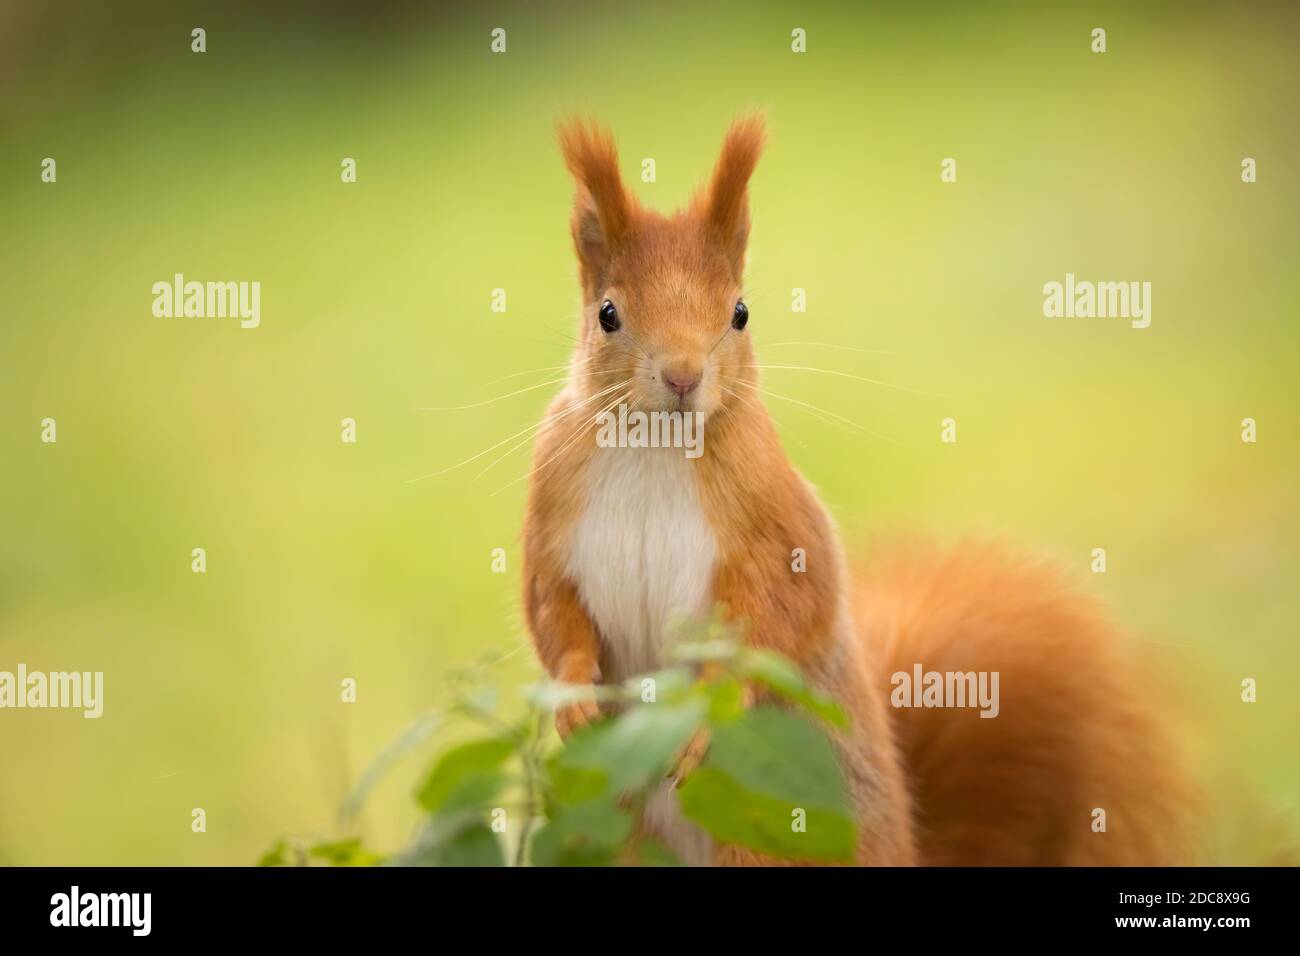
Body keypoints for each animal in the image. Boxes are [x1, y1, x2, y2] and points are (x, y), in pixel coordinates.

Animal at [521, 115, 1198, 866]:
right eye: (608, 313)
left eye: (740, 313)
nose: (682, 376)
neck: (657, 448)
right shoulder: (553, 510)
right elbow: (553, 611)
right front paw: (574, 696)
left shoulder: (775, 524)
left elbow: (782, 613)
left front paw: (705, 716)